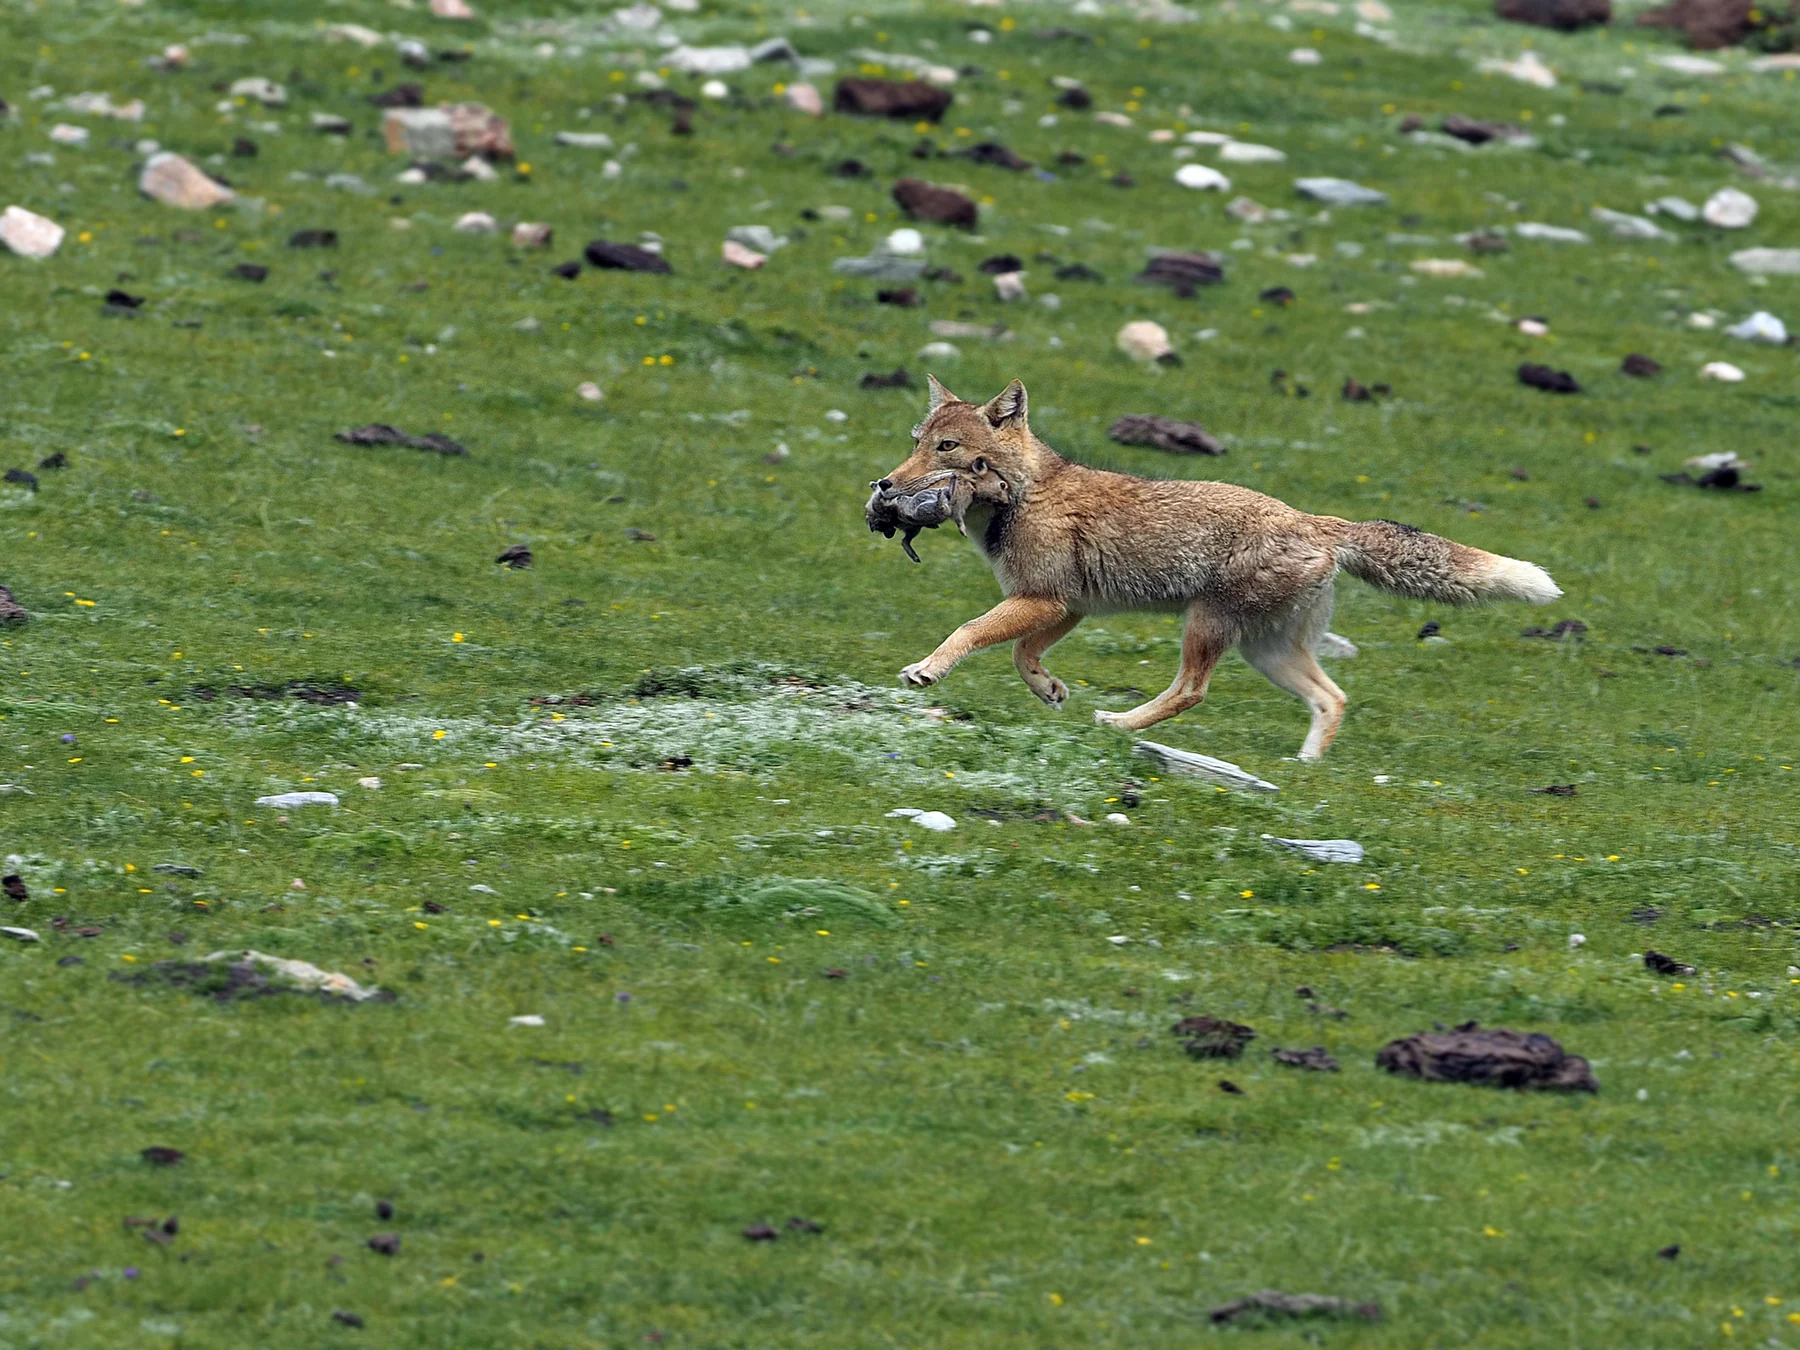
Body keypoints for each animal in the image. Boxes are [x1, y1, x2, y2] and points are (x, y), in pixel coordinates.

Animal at [865, 375, 1561, 760]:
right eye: (915, 442)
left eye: (947, 449)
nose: (885, 486)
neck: (1026, 492)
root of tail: (1316, 522)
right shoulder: (1068, 606)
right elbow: (1019, 654)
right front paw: (1048, 688)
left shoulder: (1046, 600)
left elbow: (970, 634)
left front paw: (928, 670)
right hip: (1267, 652)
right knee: (1332, 698)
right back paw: (1305, 768)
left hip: (1206, 628)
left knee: (1190, 692)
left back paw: (1120, 723)